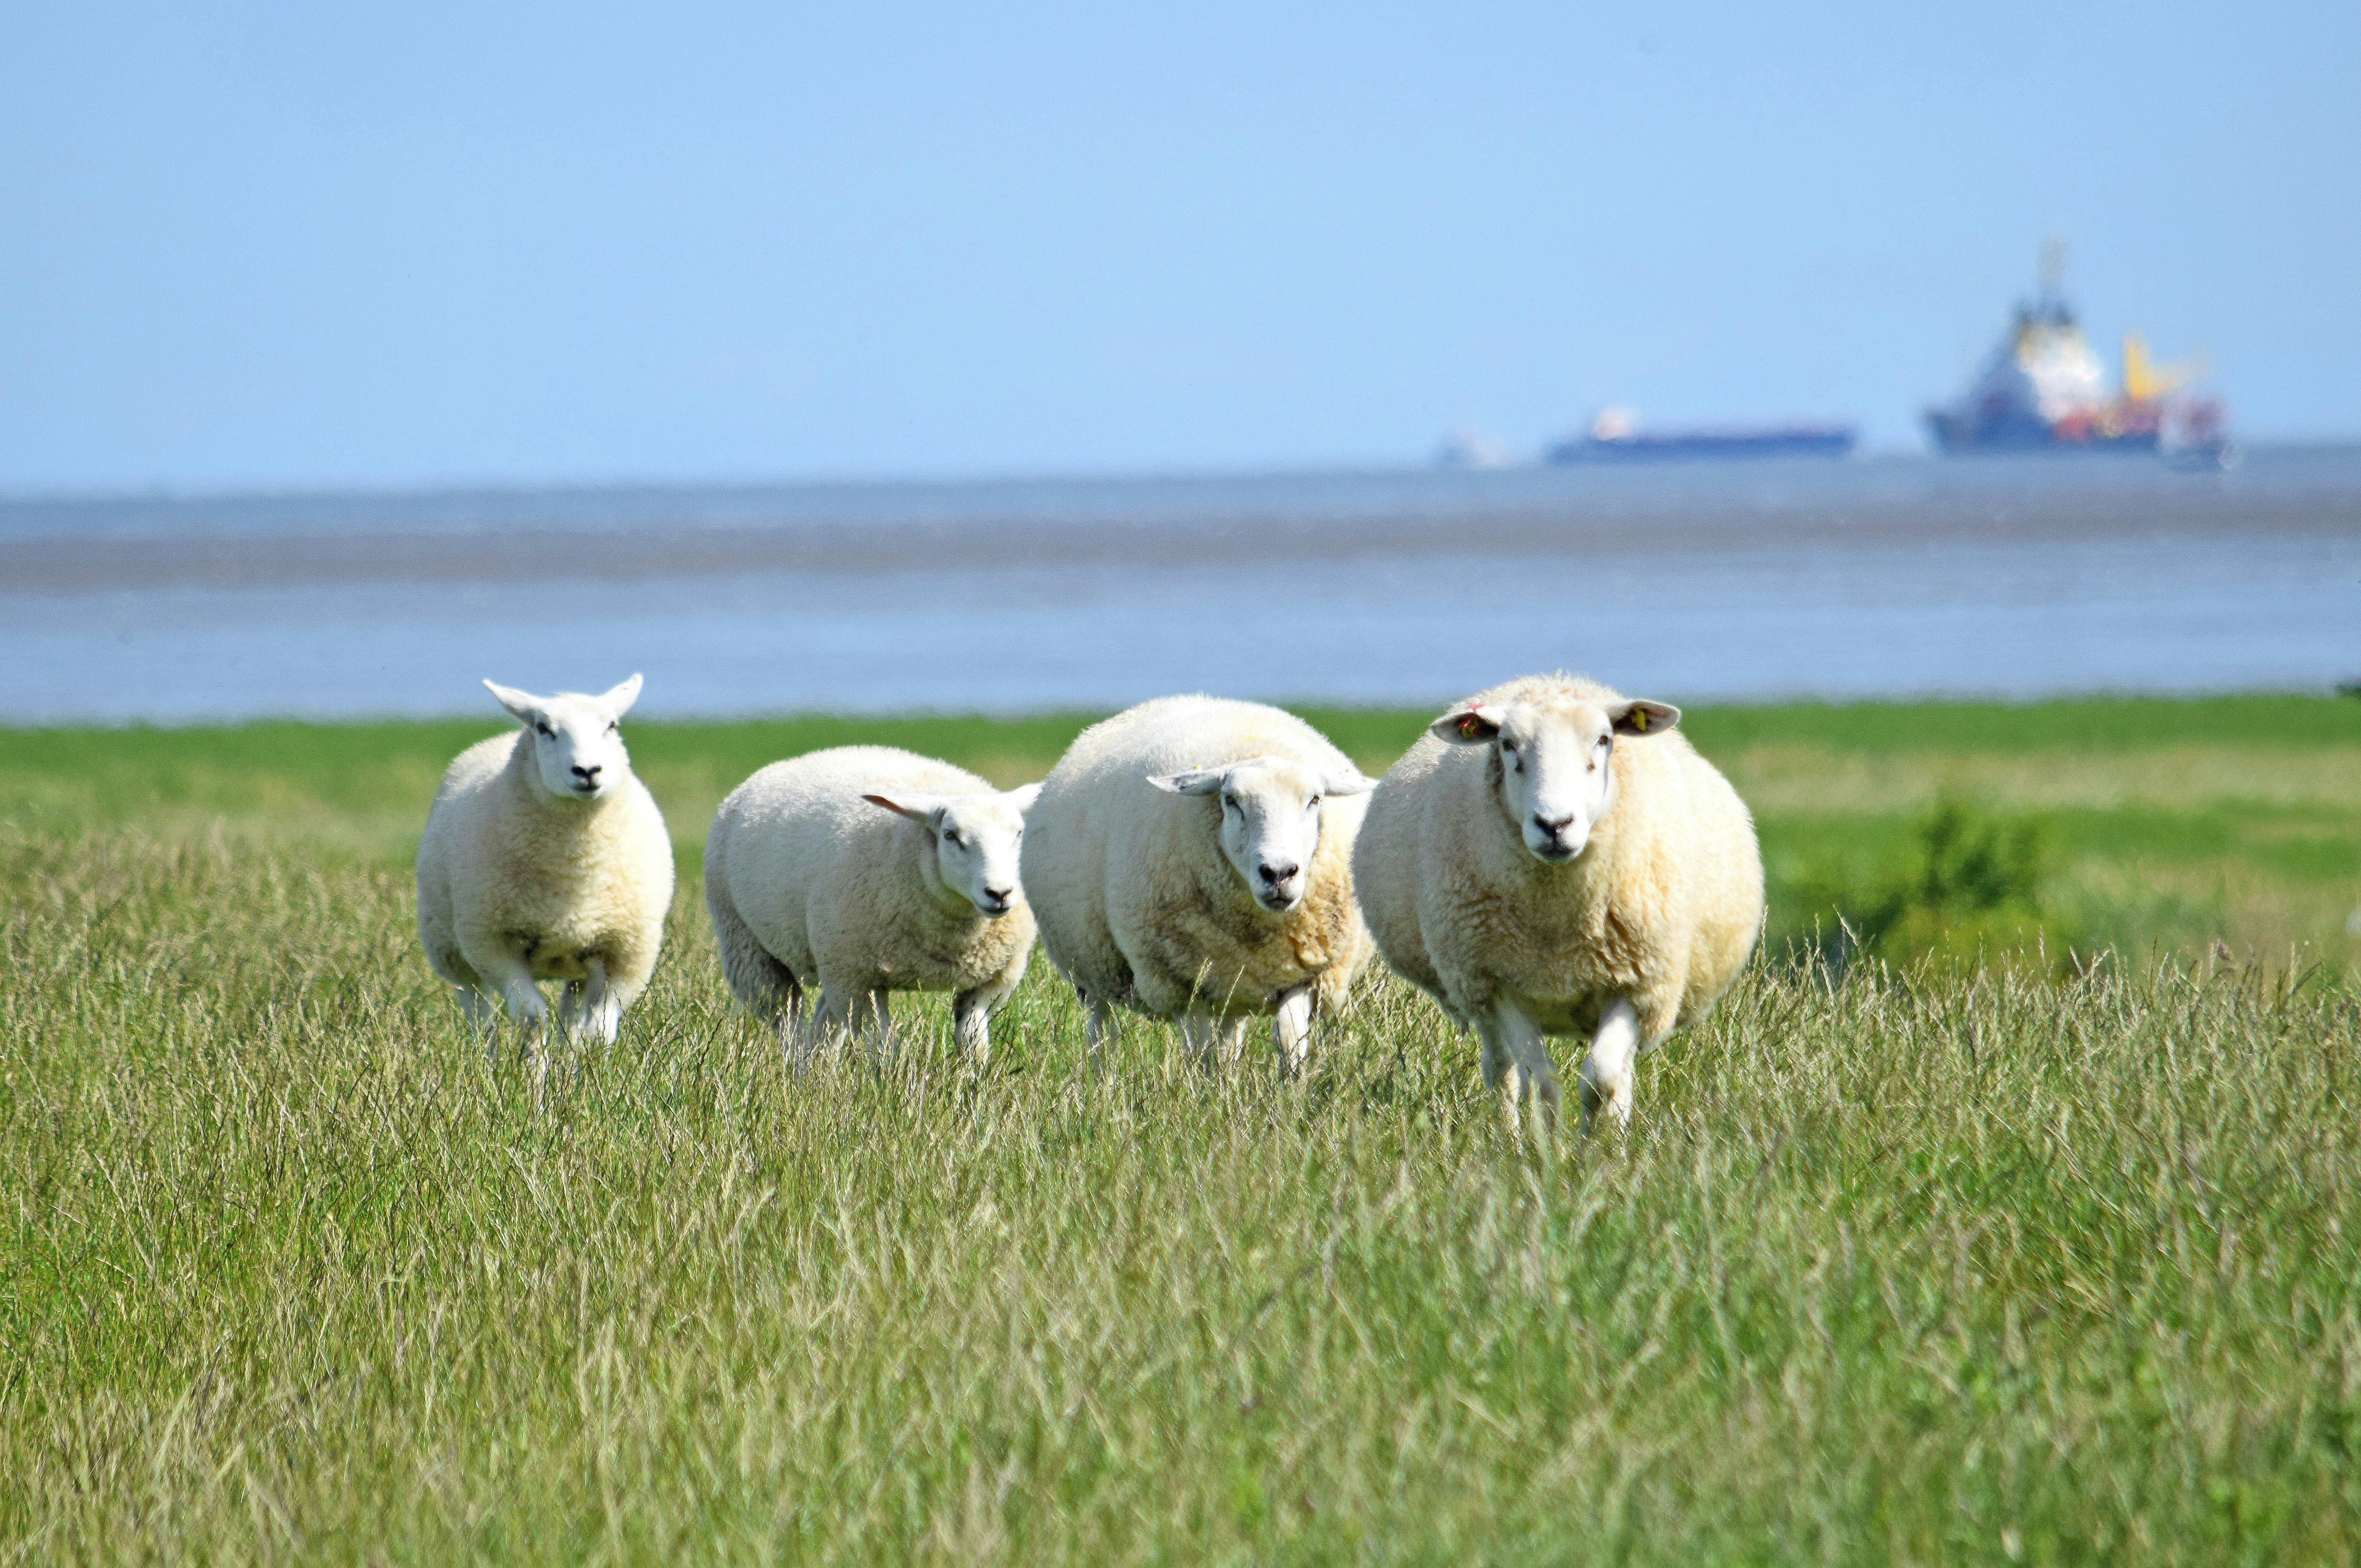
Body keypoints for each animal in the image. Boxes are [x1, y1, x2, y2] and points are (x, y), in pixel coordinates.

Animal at [415, 675, 675, 1071]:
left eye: (612, 725)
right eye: (543, 728)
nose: (588, 771)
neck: (573, 872)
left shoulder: (625, 954)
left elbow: (599, 1030)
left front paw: (591, 1085)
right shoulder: (495, 946)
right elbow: (533, 1019)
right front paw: (534, 1085)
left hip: (577, 962)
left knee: (571, 1019)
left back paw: (566, 1068)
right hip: (453, 952)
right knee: (480, 1016)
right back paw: (486, 1070)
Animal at [704, 747, 1040, 1066]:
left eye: (1019, 833)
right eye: (951, 835)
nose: (1000, 893)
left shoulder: (992, 982)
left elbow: (973, 1043)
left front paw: (973, 1081)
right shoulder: (859, 980)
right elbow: (880, 1048)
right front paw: (888, 1084)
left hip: (832, 962)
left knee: (824, 1026)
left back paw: (816, 1074)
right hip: (750, 946)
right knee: (788, 1024)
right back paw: (796, 1073)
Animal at [1019, 695, 1377, 1072]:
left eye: (1315, 800)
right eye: (1230, 800)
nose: (1279, 873)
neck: (1261, 934)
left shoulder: (1310, 977)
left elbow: (1288, 1037)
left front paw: (1292, 1084)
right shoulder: (1184, 984)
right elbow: (1201, 1053)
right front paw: (1204, 1089)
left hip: (1233, 986)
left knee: (1228, 1038)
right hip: (1092, 968)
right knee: (1103, 1033)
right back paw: (1101, 1080)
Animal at [1351, 672, 1763, 1135]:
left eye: (1603, 739)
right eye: (1507, 744)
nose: (1554, 825)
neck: (1557, 923)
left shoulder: (1638, 983)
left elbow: (1602, 1079)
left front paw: (1597, 1148)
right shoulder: (1500, 981)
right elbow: (1541, 1079)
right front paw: (1547, 1149)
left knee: (1618, 1075)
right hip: (1473, 986)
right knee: (1502, 1071)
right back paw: (1508, 1139)